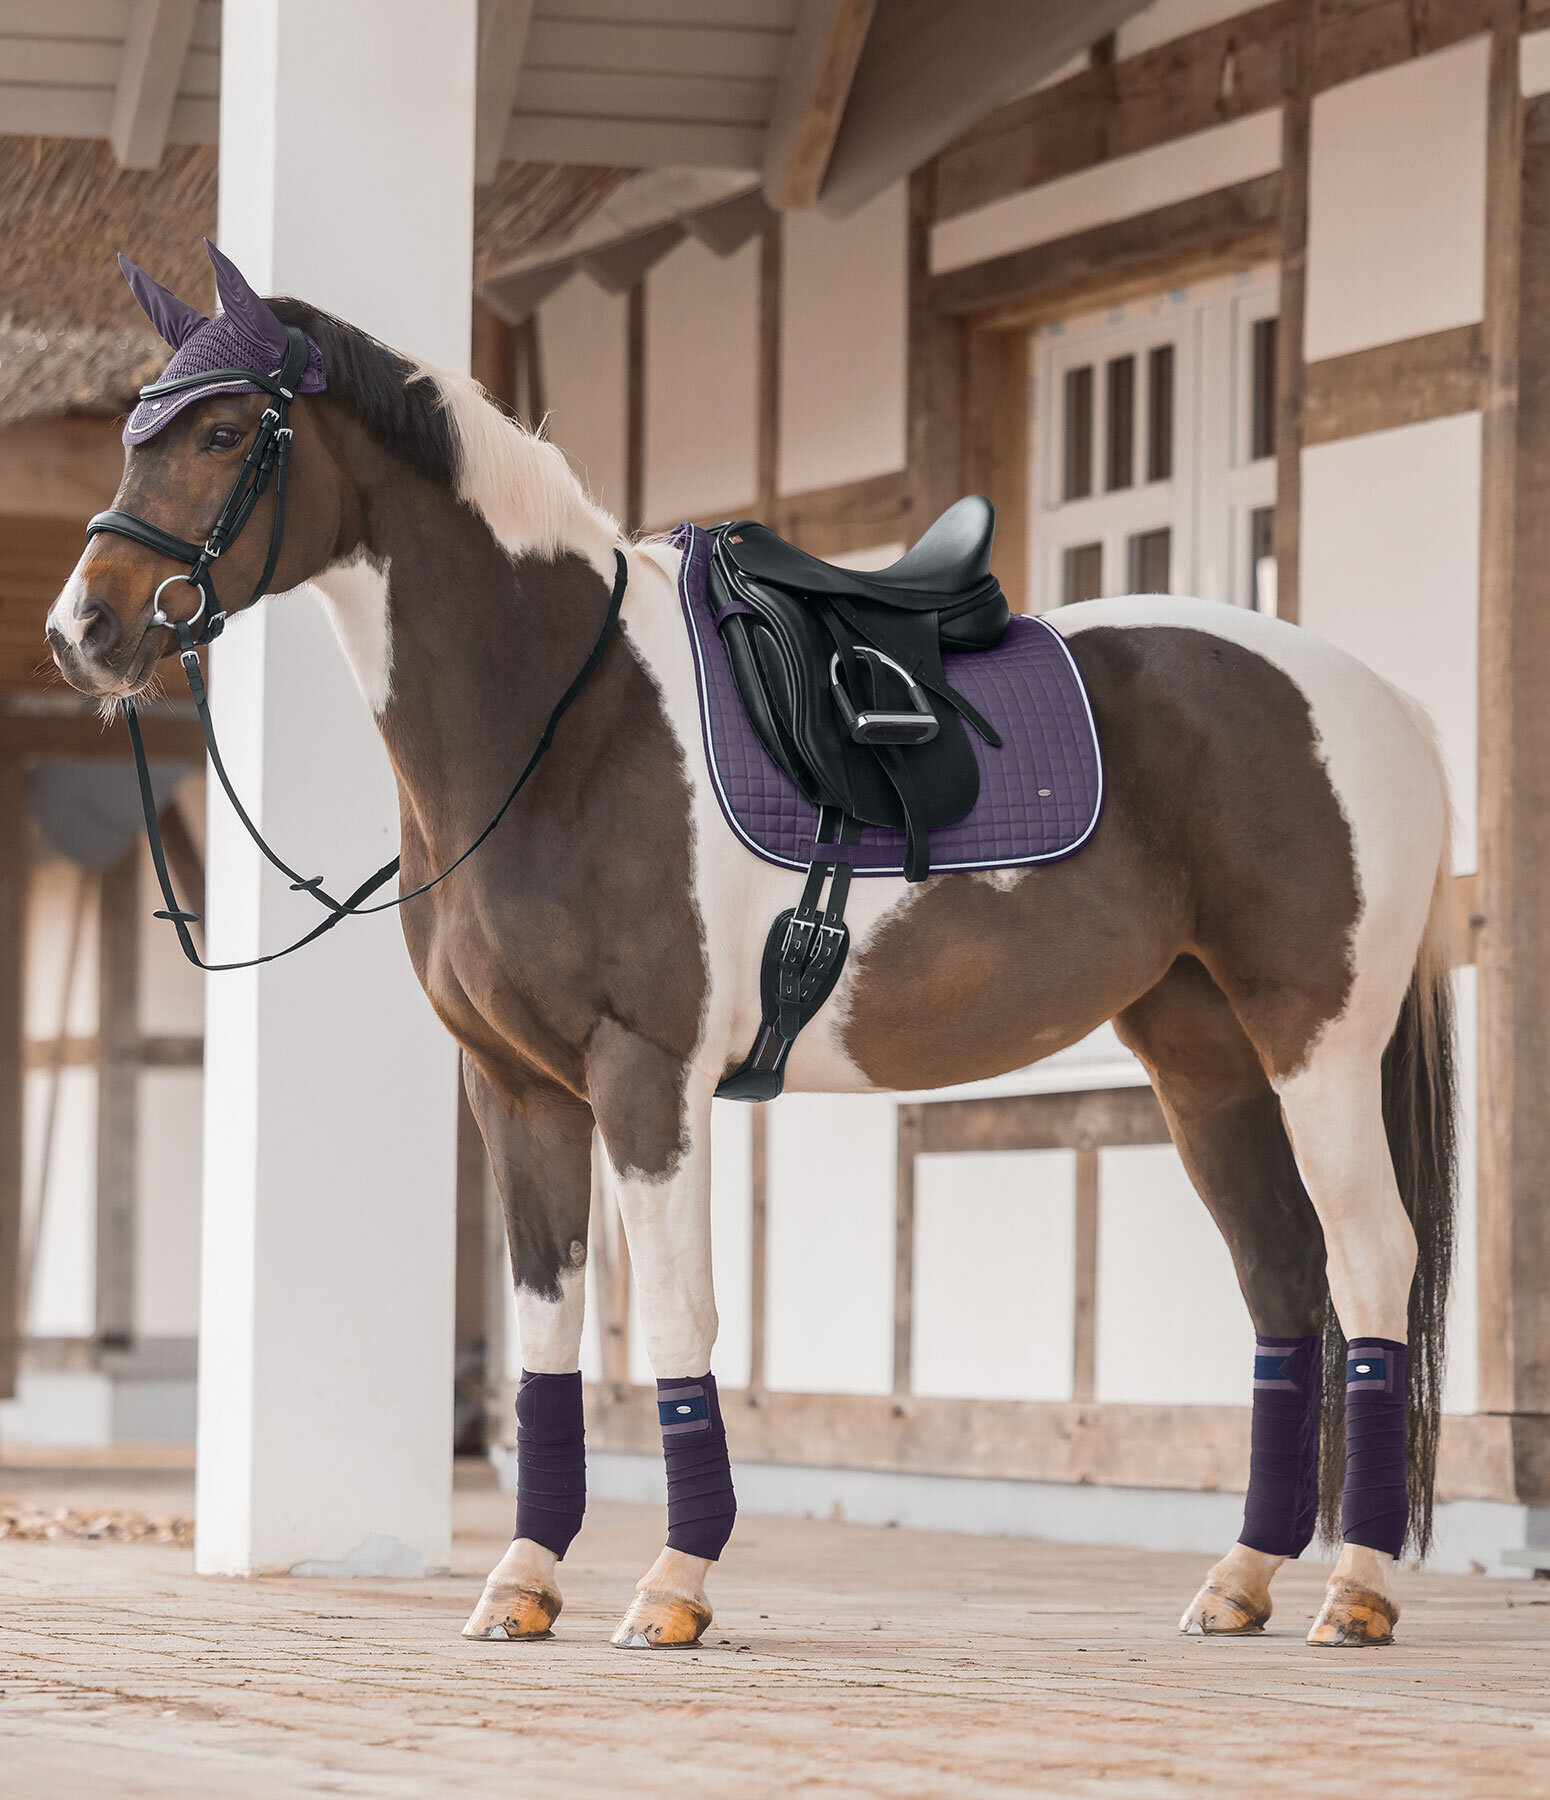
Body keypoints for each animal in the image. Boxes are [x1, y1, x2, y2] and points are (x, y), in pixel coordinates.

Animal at [48, 245, 1456, 1652]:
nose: (83, 634)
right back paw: (1241, 1580)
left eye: (224, 431)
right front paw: (521, 1582)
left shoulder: (645, 1073)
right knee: (1281, 1281)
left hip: (1318, 1046)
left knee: (1371, 1266)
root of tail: (1375, 698)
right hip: (1202, 1063)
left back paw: (1356, 1591)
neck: (564, 723)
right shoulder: (514, 1089)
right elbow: (547, 1328)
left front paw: (672, 1586)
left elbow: (678, 1313)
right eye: (132, 435)